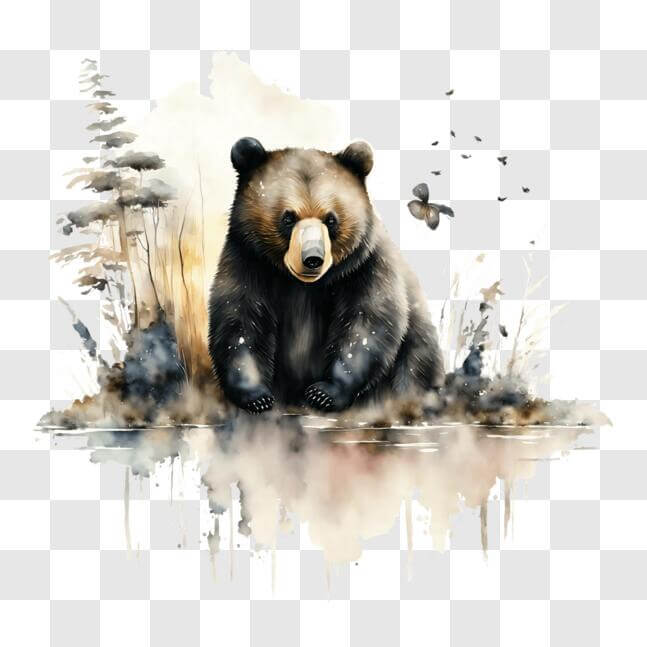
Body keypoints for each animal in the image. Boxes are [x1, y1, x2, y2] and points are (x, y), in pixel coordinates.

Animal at [208, 137, 444, 414]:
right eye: (288, 218)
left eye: (331, 220)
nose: (312, 259)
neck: (304, 285)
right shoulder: (248, 260)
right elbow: (240, 319)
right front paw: (256, 395)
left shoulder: (364, 265)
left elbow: (367, 323)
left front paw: (325, 392)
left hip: (416, 352)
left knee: (415, 364)